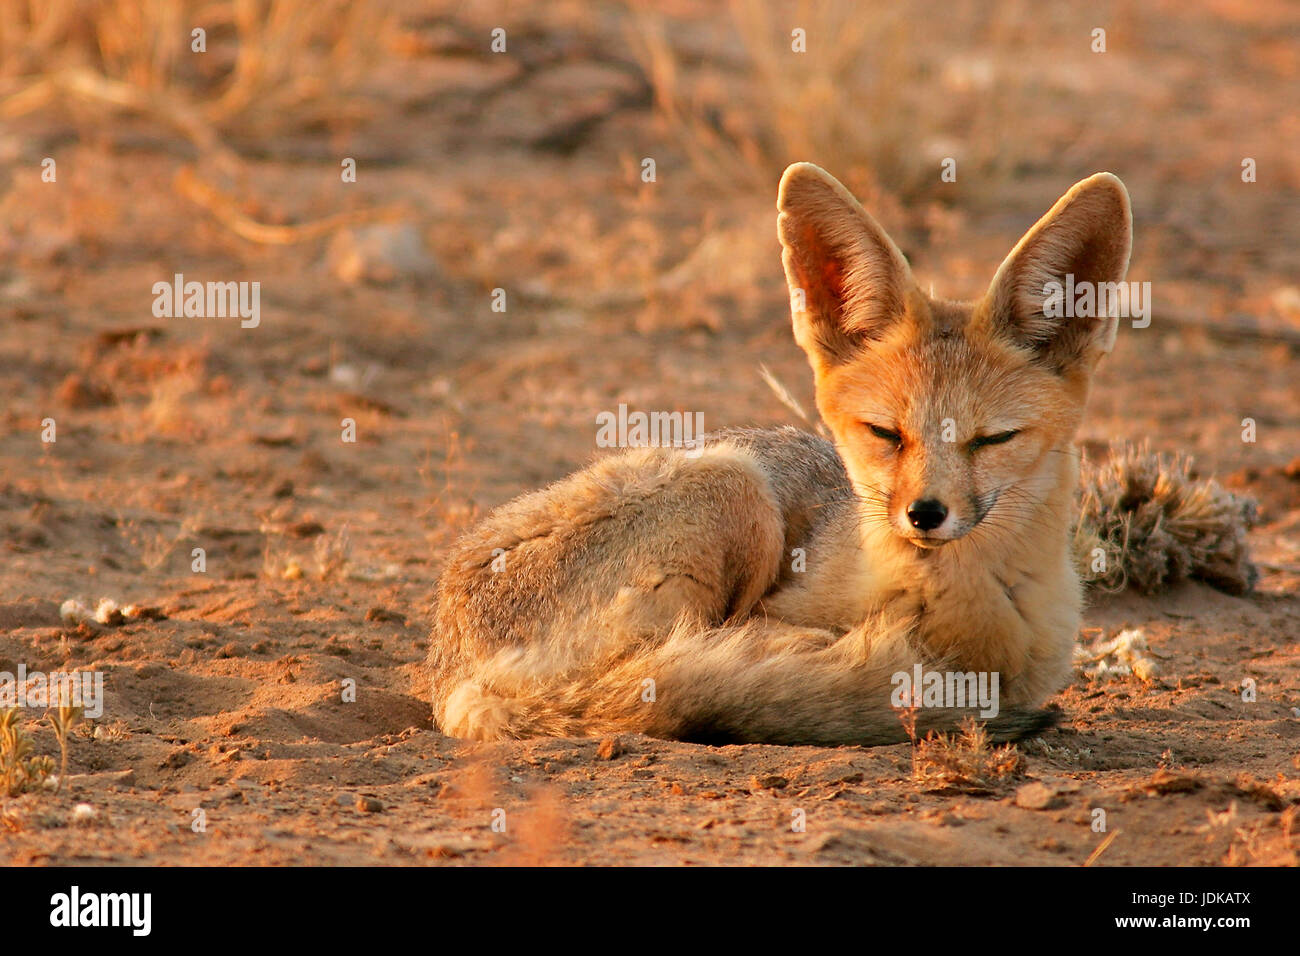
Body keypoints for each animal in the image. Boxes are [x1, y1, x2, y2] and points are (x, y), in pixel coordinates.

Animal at [429, 162, 1133, 746]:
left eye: (992, 439)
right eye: (885, 433)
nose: (925, 515)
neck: (968, 613)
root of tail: (444, 665)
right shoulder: (775, 610)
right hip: (734, 487)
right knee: (639, 685)